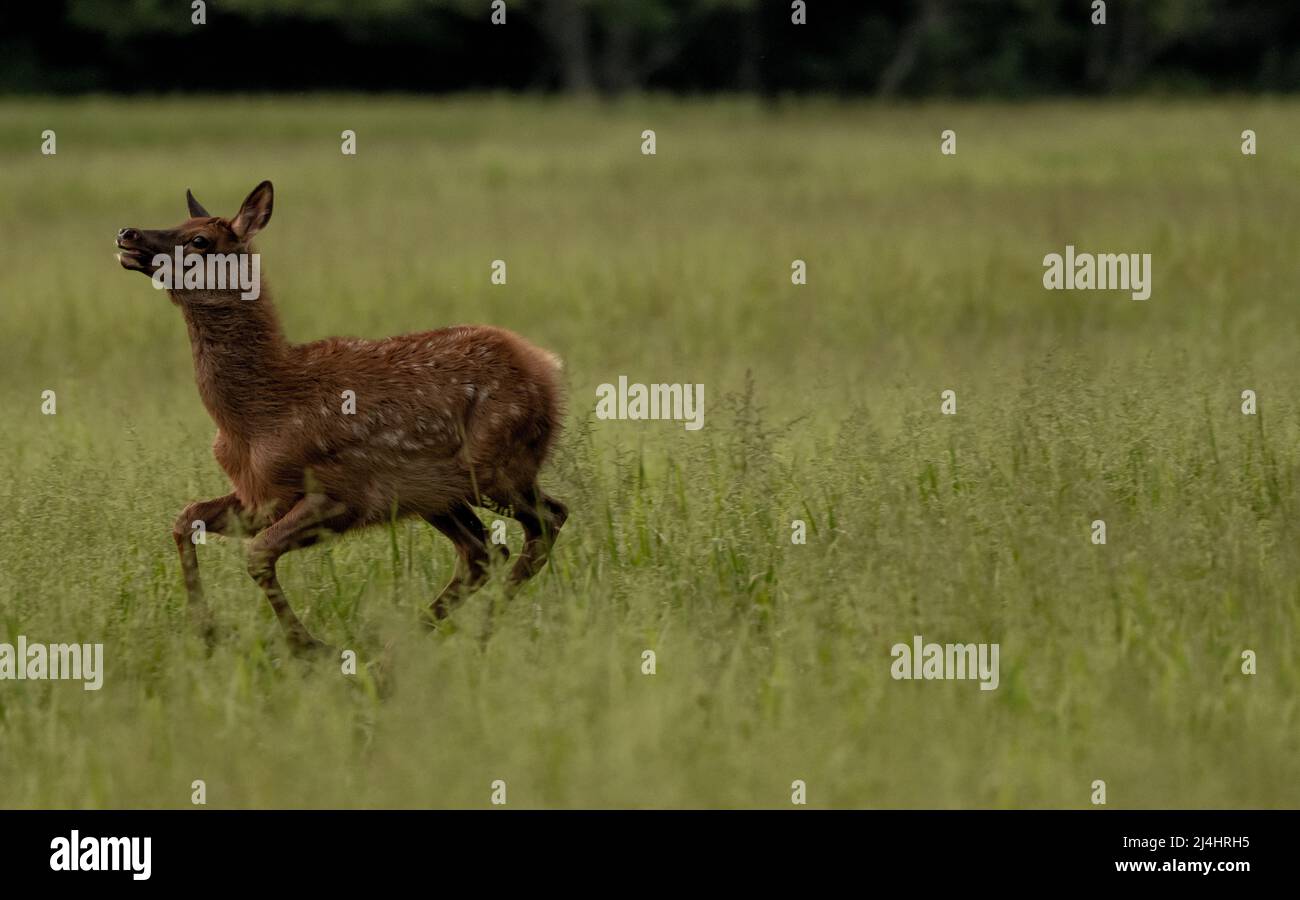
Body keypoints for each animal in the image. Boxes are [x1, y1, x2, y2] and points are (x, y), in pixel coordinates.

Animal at [116, 181, 568, 655]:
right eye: (180, 221)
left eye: (200, 239)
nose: (128, 233)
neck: (255, 416)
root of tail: (547, 367)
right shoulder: (259, 496)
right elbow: (186, 520)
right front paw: (206, 632)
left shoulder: (342, 492)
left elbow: (258, 554)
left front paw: (308, 647)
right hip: (435, 492)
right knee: (484, 552)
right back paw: (411, 639)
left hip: (497, 465)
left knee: (549, 519)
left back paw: (479, 631)